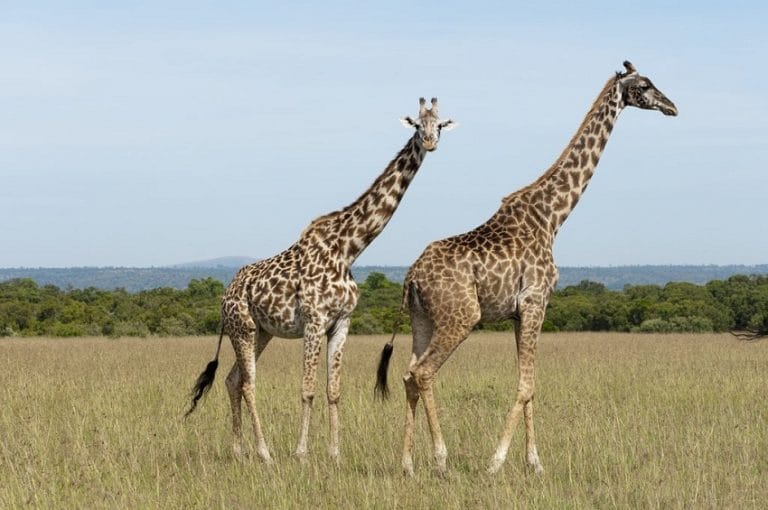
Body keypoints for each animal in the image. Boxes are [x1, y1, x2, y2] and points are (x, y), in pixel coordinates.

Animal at [186, 97, 456, 464]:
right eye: (417, 124)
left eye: (439, 124)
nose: (429, 142)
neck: (348, 249)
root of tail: (225, 294)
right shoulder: (314, 321)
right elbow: (307, 389)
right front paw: (301, 453)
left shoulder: (341, 322)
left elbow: (333, 390)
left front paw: (335, 453)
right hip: (242, 329)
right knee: (247, 383)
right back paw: (265, 453)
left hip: (261, 332)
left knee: (232, 379)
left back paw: (239, 451)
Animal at [375, 61, 677, 477]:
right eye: (645, 85)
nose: (672, 107)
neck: (553, 217)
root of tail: (410, 277)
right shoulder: (536, 302)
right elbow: (526, 386)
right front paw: (496, 462)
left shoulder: (521, 312)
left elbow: (529, 383)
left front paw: (535, 463)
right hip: (461, 316)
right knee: (423, 372)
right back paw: (441, 460)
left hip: (422, 319)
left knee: (408, 374)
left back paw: (407, 465)